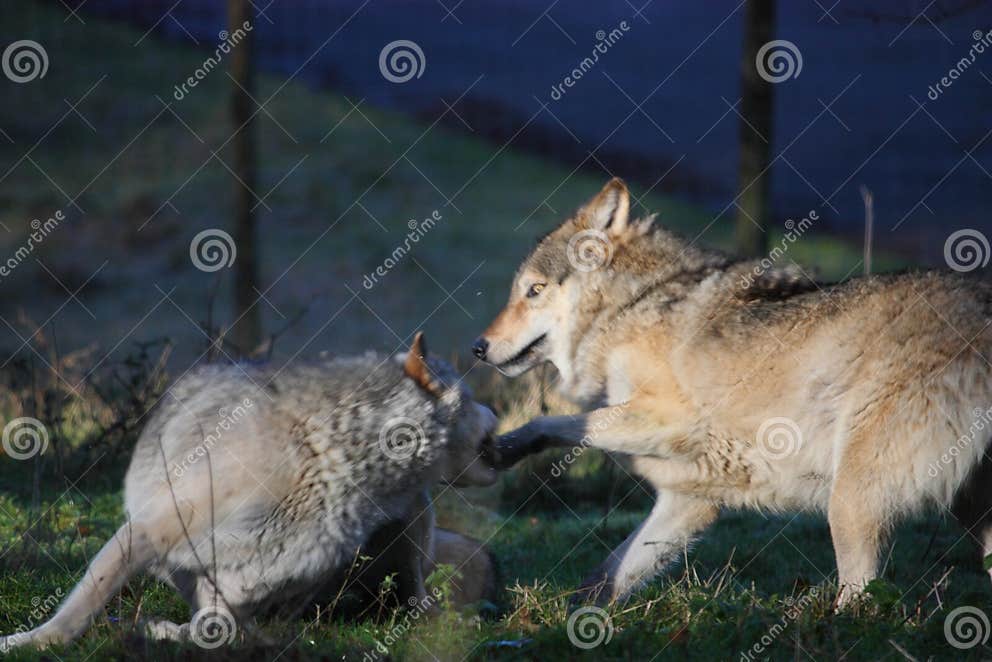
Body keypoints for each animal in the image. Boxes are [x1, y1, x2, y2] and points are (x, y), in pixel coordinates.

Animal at [2, 333, 498, 650]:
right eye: (473, 396)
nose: (497, 415)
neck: (326, 454)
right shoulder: (149, 531)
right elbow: (80, 610)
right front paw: (31, 641)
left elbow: (219, 622)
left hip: (412, 526)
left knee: (418, 595)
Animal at [473, 177, 992, 606]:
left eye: (534, 291)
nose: (478, 347)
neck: (632, 305)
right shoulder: (688, 499)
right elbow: (604, 578)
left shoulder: (665, 416)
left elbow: (556, 421)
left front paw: (504, 447)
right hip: (965, 513)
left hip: (850, 503)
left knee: (861, 601)